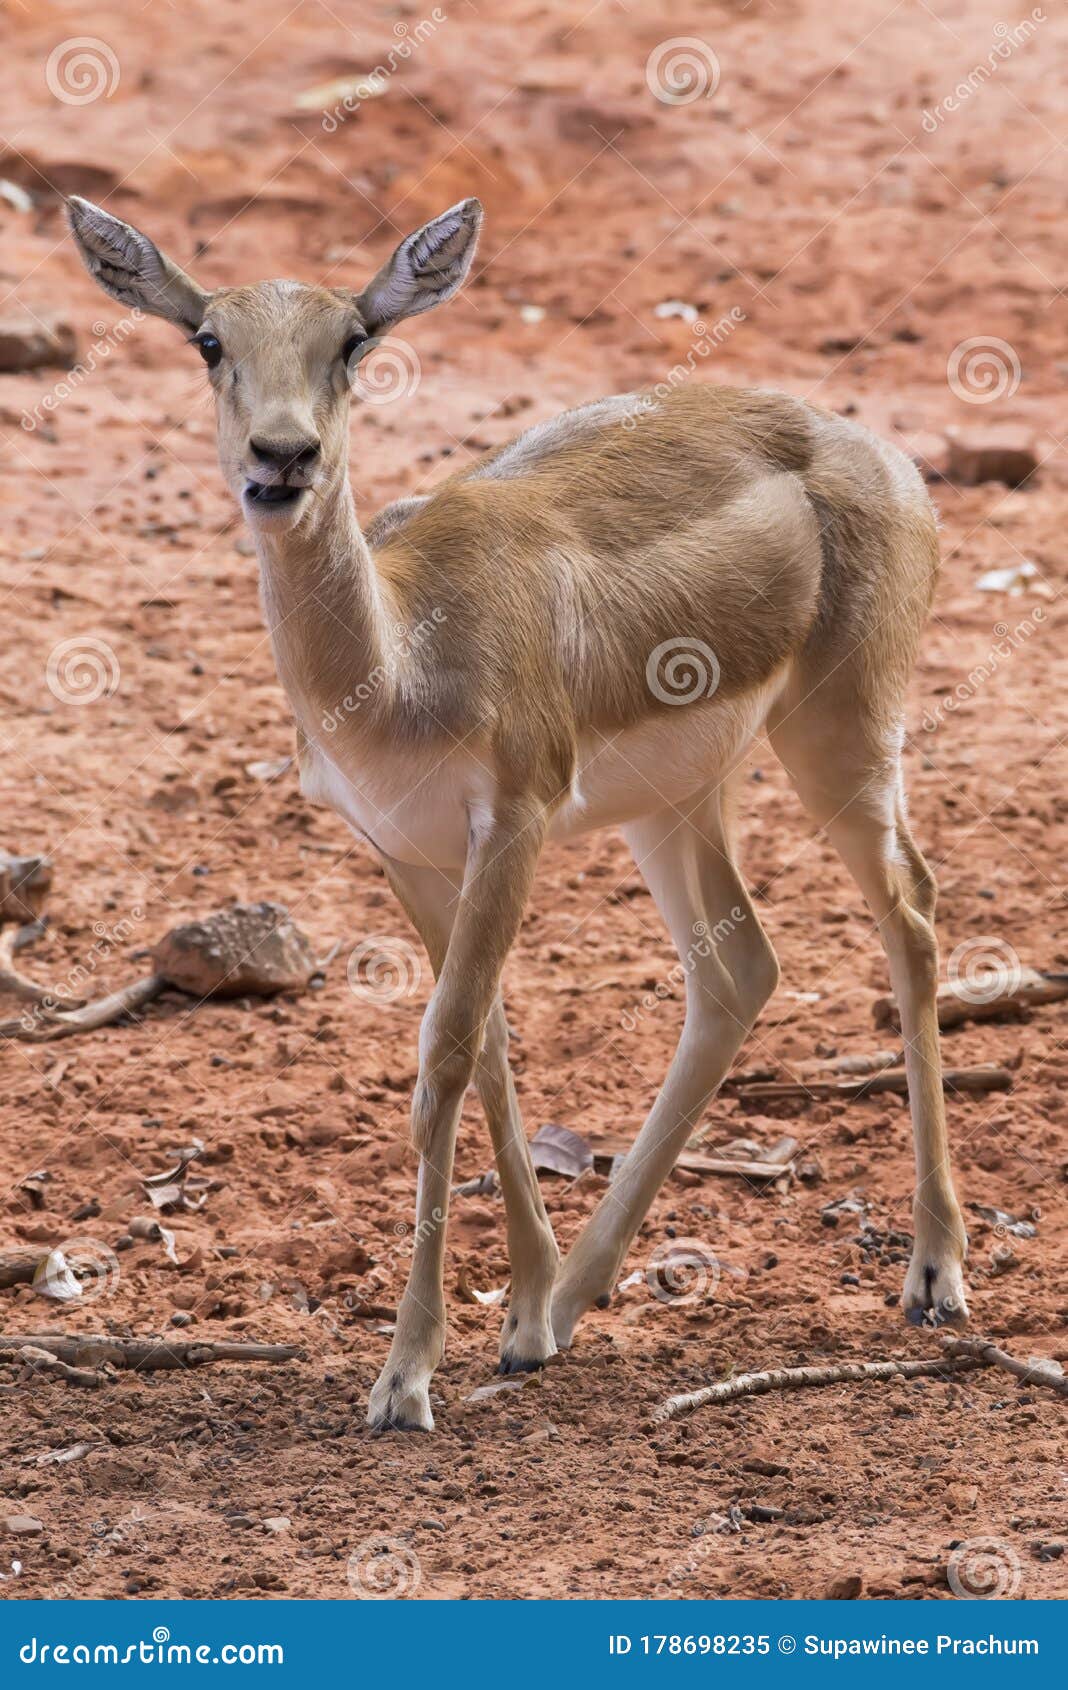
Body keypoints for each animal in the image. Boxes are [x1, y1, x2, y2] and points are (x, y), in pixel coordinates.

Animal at [68, 194, 969, 1432]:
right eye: (208, 339)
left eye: (355, 340)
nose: (283, 457)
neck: (398, 660)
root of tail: (877, 452)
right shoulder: (407, 854)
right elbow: (485, 1042)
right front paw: (526, 1309)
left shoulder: (518, 822)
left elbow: (443, 1053)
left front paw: (405, 1376)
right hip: (671, 806)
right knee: (740, 968)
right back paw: (580, 1297)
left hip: (840, 739)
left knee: (912, 917)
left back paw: (935, 1272)